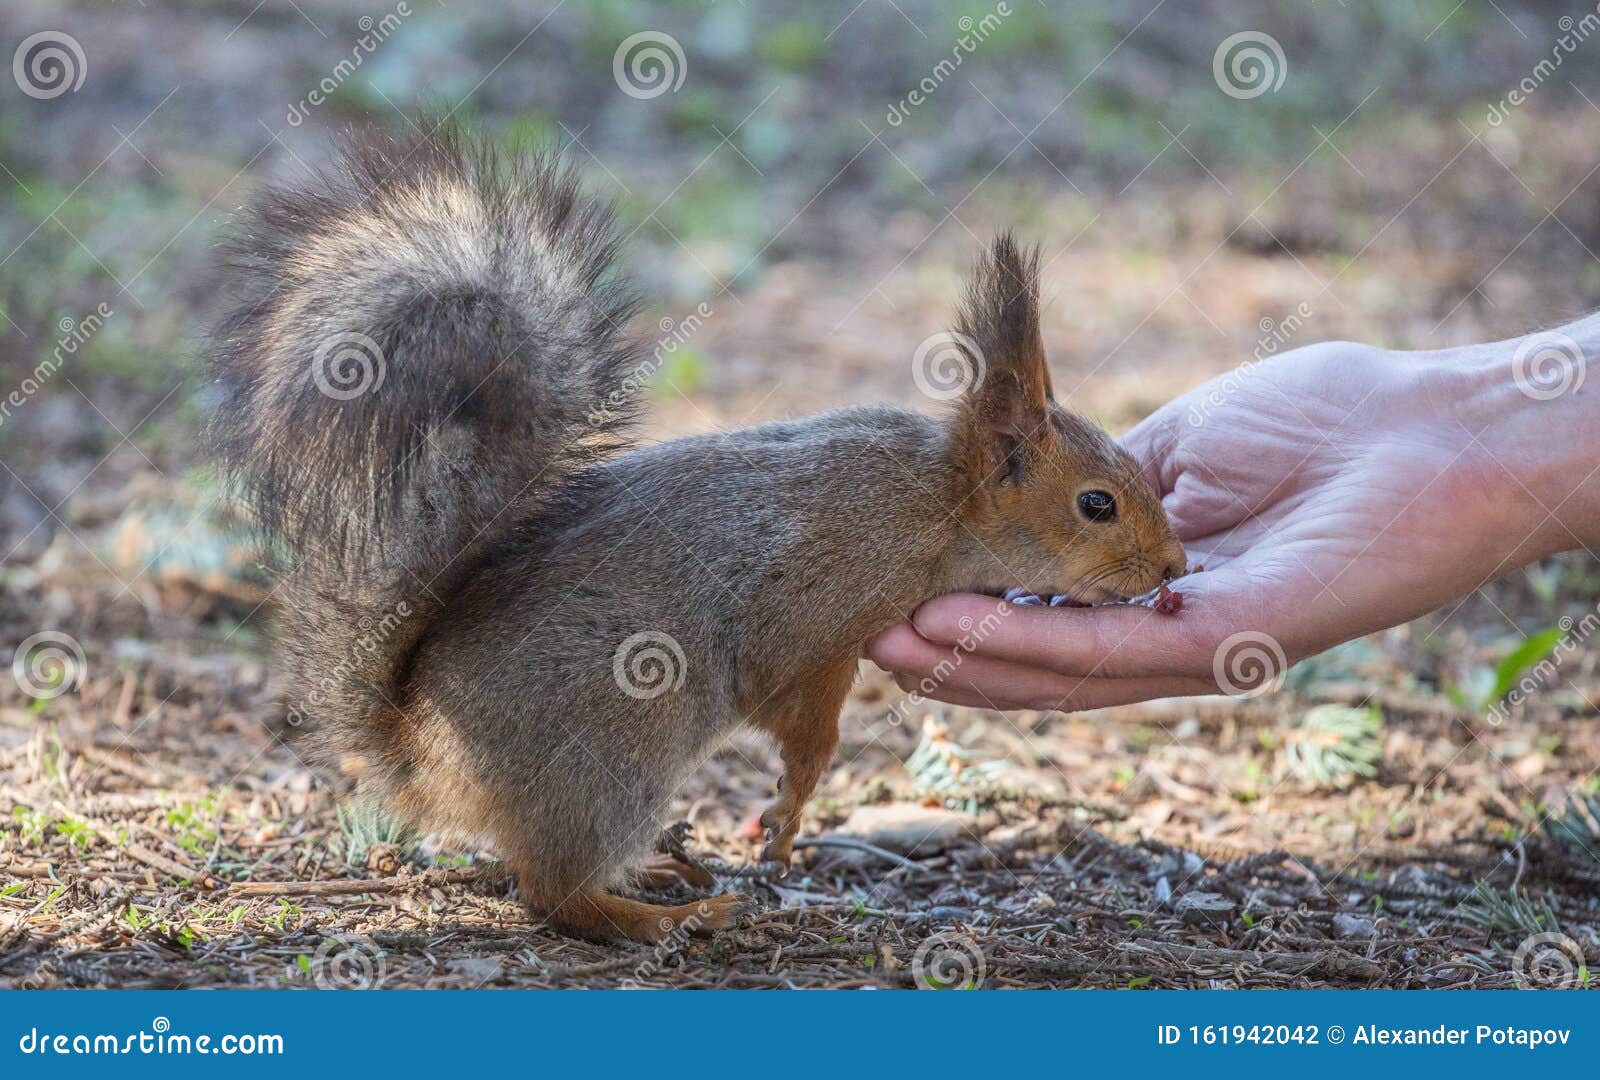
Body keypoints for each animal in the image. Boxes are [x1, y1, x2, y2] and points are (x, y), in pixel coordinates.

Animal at [207, 121, 1186, 942]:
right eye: (1097, 504)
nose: (1175, 564)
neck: (935, 506)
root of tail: (418, 747)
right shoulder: (812, 607)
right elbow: (802, 718)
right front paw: (790, 810)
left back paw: (659, 876)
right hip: (619, 732)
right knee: (550, 891)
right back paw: (664, 916)